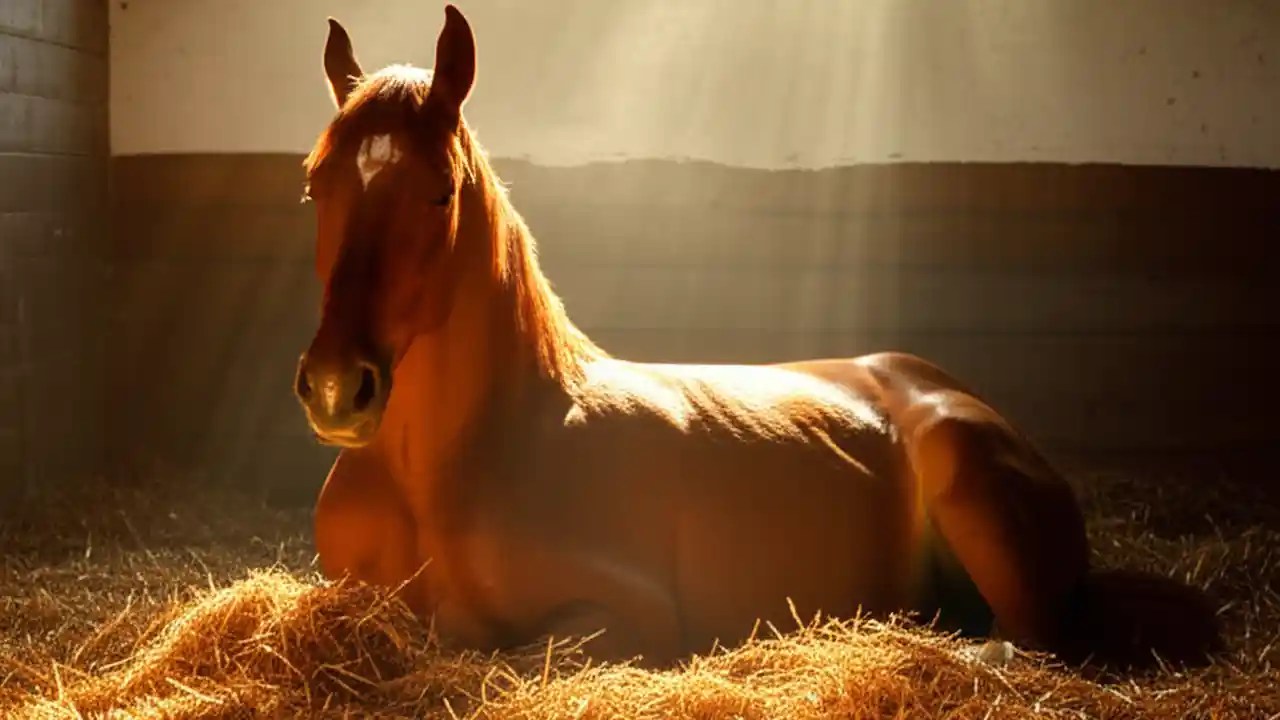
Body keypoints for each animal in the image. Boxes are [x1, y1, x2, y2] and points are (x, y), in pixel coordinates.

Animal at [292, 4, 1222, 671]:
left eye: (441, 192)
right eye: (313, 186)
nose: (339, 386)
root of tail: (943, 390)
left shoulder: (624, 620)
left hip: (975, 491)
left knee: (1022, 644)